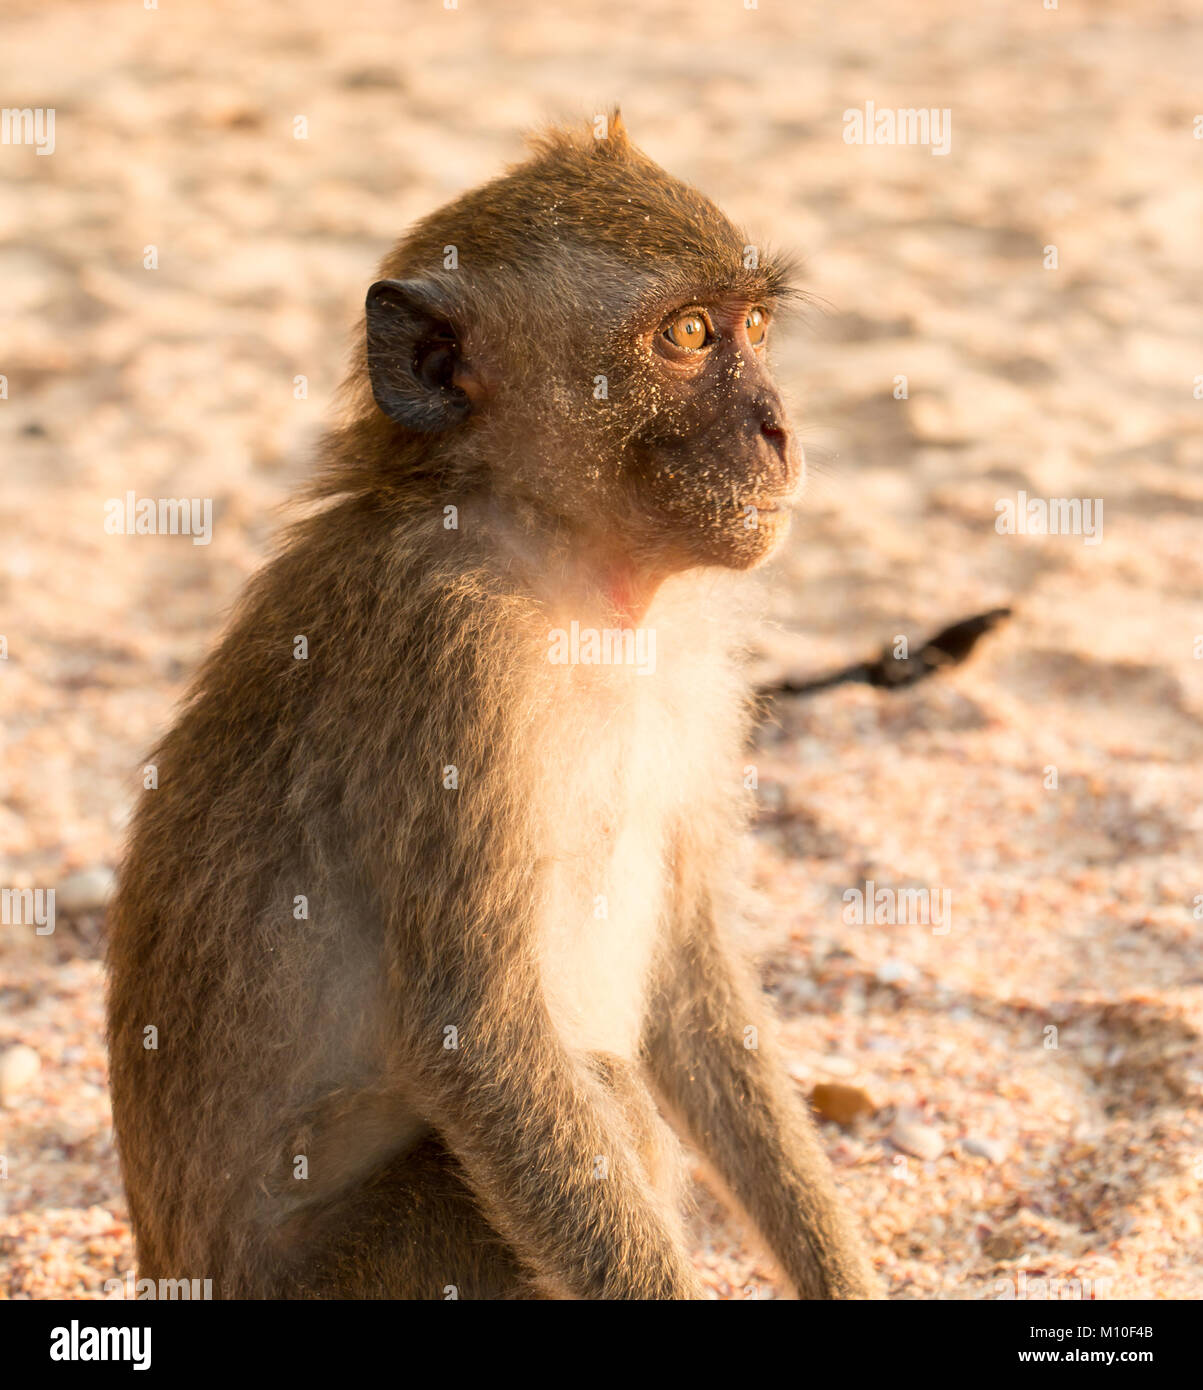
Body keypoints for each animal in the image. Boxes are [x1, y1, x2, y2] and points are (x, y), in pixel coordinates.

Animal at [105, 112, 879, 1301]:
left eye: (754, 325)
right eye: (689, 333)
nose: (780, 431)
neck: (564, 562)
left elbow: (692, 979)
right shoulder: (448, 663)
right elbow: (478, 1037)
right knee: (591, 1101)